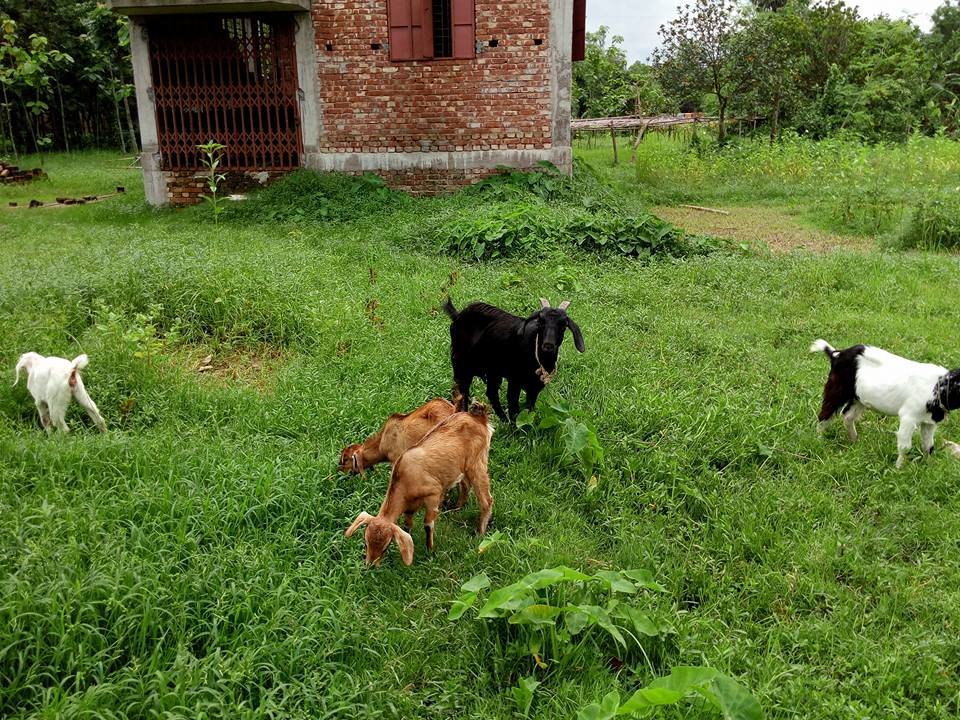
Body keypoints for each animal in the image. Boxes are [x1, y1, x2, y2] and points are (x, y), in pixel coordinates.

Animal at [344, 401, 494, 566]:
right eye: (366, 542)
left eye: (385, 546)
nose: (370, 565)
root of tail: (478, 416)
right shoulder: (410, 507)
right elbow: (407, 525)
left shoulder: (434, 495)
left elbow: (428, 525)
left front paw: (430, 552)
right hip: (463, 468)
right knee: (466, 486)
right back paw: (457, 509)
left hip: (477, 463)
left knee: (486, 500)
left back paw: (480, 534)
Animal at [443, 297, 584, 420]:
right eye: (540, 322)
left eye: (563, 325)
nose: (548, 345)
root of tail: (458, 315)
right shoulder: (514, 380)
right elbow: (514, 408)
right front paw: (515, 430)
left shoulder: (535, 386)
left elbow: (529, 408)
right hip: (461, 363)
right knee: (462, 391)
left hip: (493, 370)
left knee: (491, 392)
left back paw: (503, 419)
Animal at [811, 339, 960, 468]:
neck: (937, 386)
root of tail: (837, 354)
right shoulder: (908, 416)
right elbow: (905, 446)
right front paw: (898, 469)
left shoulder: (929, 421)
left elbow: (928, 446)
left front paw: (928, 466)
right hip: (837, 390)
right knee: (825, 414)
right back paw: (819, 440)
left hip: (858, 399)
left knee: (847, 416)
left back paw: (855, 441)